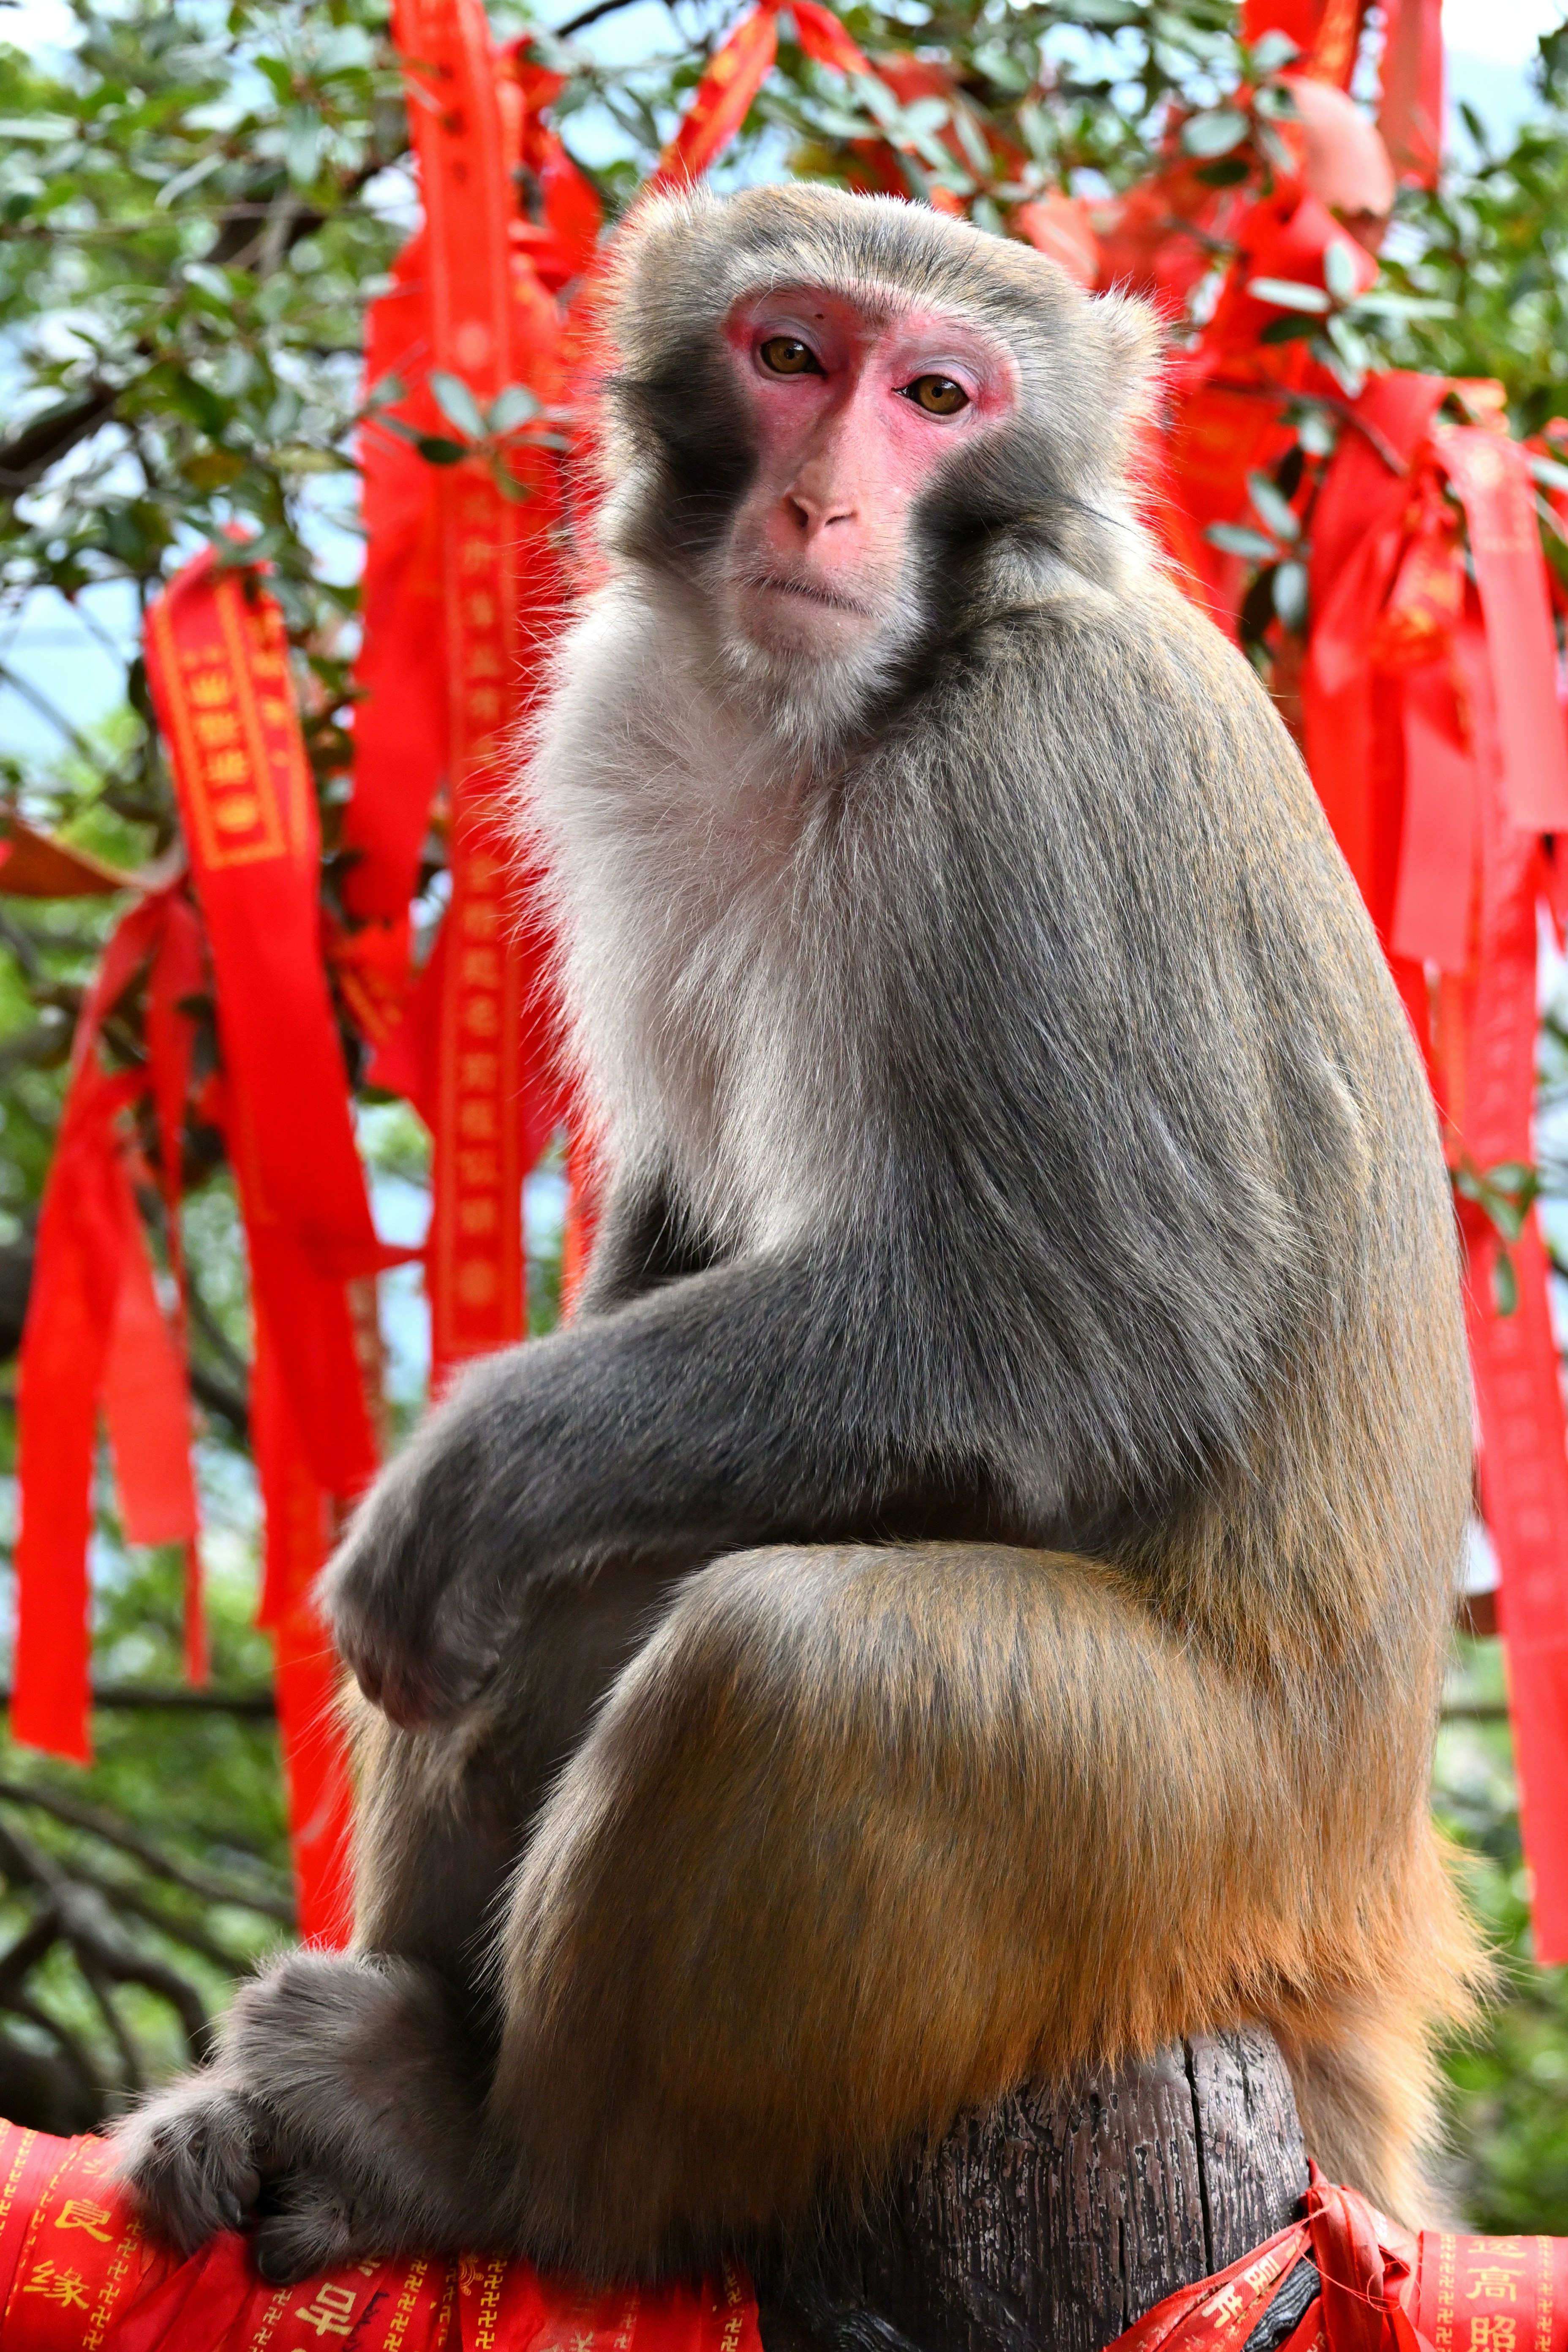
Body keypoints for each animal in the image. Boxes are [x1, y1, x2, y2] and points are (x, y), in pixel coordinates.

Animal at [114, 182, 1482, 2291]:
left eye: (937, 397)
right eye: (790, 356)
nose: (826, 504)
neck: (863, 704)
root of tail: (1358, 1910)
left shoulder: (1038, 776)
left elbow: (1094, 1327)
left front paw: (475, 1459)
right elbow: (681, 1242)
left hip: (1183, 1847)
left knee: (798, 1668)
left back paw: (496, 2164)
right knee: (617, 1563)